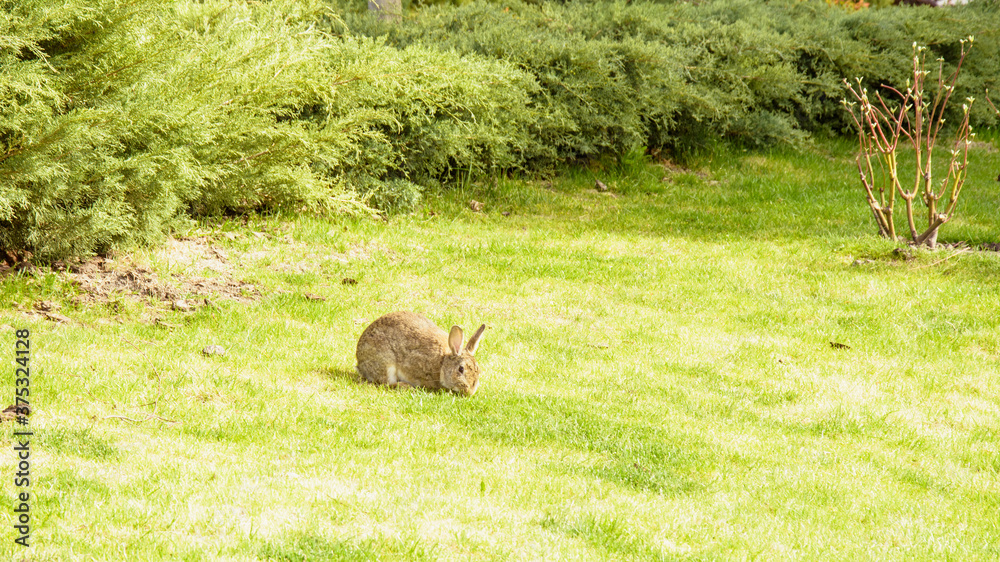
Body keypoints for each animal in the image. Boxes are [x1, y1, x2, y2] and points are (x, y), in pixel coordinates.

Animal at [356, 311, 487, 396]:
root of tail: (359, 362)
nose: (469, 392)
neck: (441, 363)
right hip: (386, 364)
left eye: (478, 371)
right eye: (461, 369)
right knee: (385, 383)